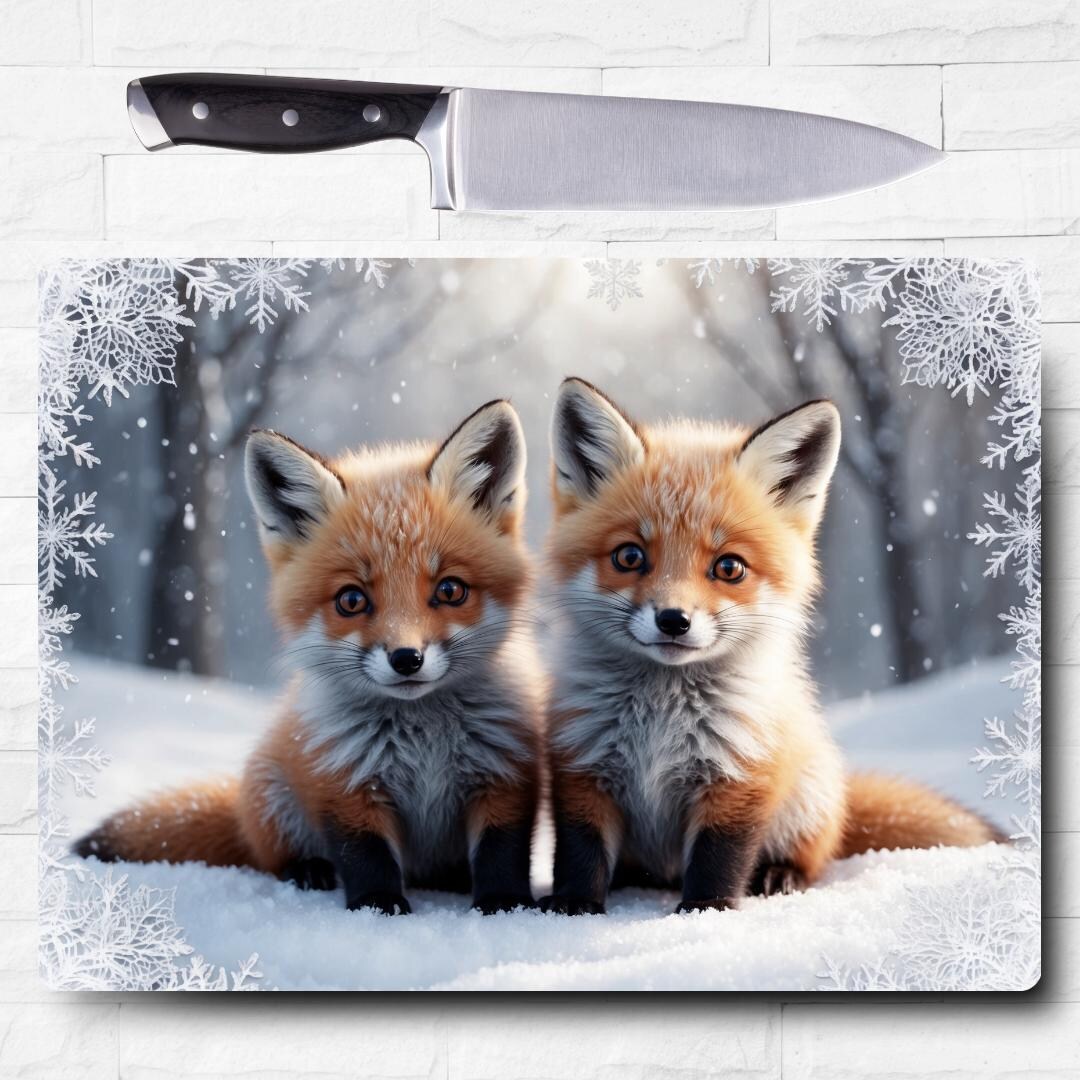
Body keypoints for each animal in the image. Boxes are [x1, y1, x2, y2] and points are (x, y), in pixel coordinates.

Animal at [74, 400, 542, 915]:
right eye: (351, 600)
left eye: (451, 590)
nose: (406, 658)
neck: (425, 740)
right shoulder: (343, 783)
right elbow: (365, 855)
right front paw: (378, 906)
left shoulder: (504, 775)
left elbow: (502, 851)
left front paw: (505, 904)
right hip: (276, 797)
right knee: (274, 855)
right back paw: (308, 870)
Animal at [539, 377, 1004, 916]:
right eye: (629, 557)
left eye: (729, 567)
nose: (674, 620)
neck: (661, 718)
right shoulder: (583, 765)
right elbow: (581, 851)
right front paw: (574, 906)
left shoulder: (740, 773)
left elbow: (719, 858)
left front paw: (705, 913)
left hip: (804, 801)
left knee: (810, 857)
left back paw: (781, 874)